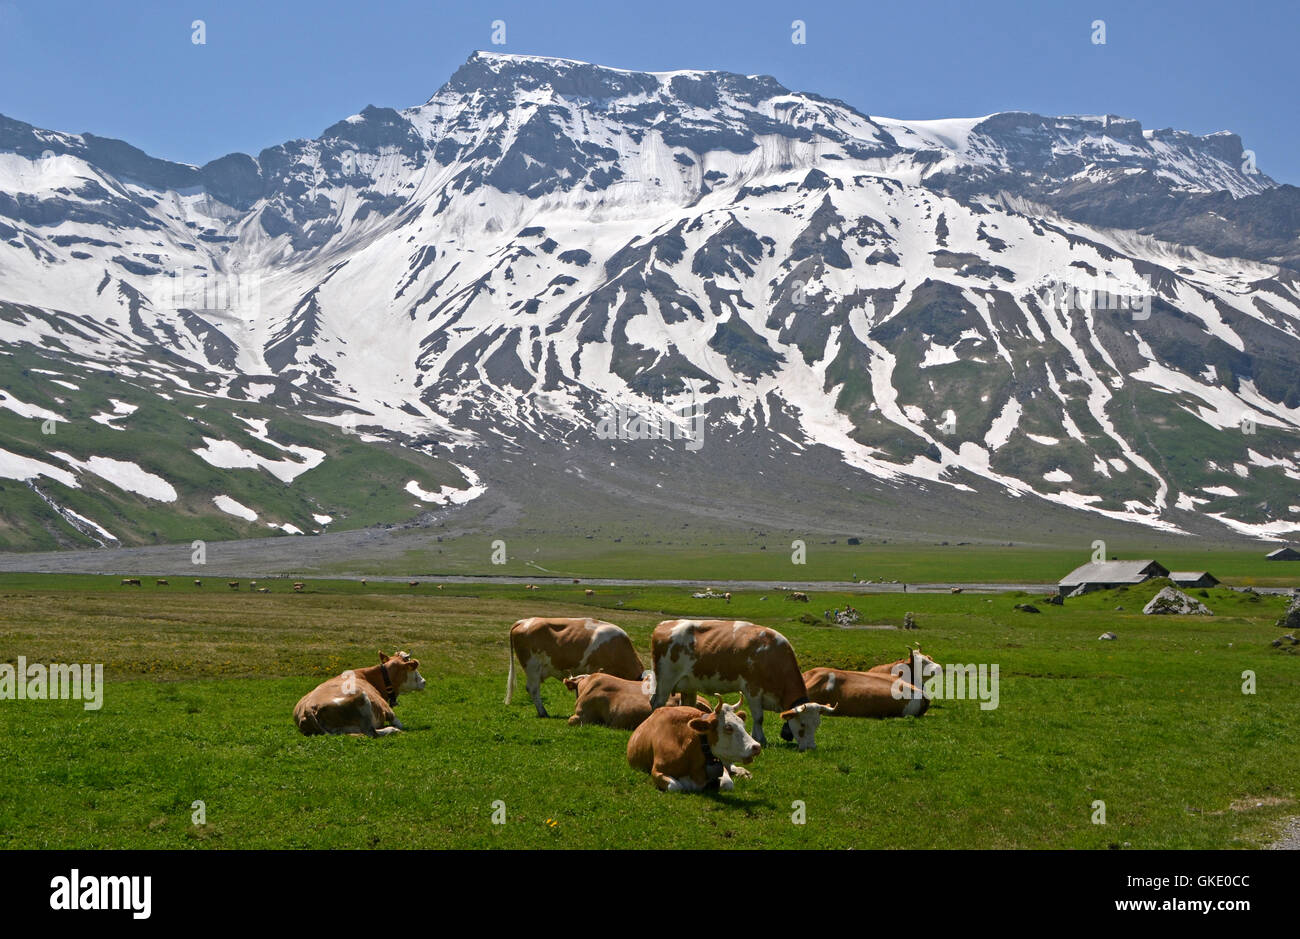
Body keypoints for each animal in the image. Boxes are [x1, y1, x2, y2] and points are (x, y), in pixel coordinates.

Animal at [294, 651, 425, 737]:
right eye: (414, 669)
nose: (424, 681)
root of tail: (308, 708)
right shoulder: (387, 709)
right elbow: (399, 723)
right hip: (362, 699)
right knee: (371, 732)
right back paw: (392, 730)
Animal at [627, 696, 761, 792]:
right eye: (728, 727)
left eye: (743, 725)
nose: (757, 746)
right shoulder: (656, 770)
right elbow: (676, 787)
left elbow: (728, 783)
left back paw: (743, 772)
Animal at [649, 619, 832, 750]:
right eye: (802, 725)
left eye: (817, 724)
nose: (811, 747)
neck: (771, 655)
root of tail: (665, 624)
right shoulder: (752, 689)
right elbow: (759, 718)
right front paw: (760, 739)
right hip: (665, 680)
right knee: (657, 703)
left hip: (688, 685)